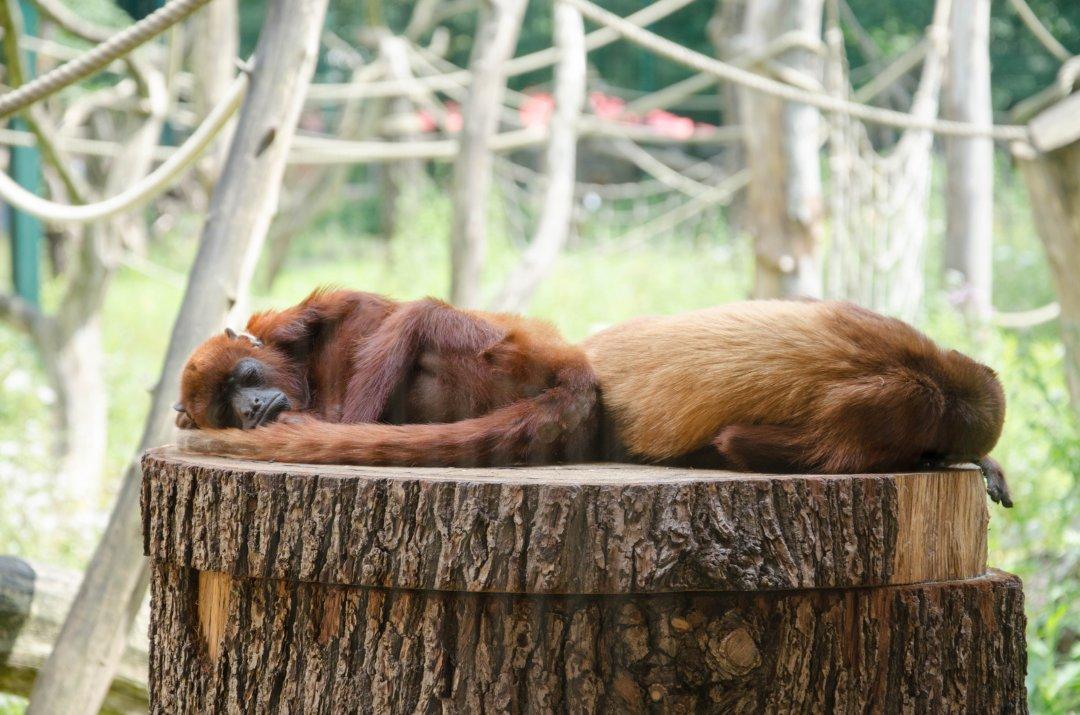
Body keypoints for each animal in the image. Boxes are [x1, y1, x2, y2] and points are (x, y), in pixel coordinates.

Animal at [175, 293, 1010, 506]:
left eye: (243, 381)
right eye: (230, 401)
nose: (251, 410)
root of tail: (573, 375)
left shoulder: (292, 317)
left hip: (500, 348)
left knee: (420, 312)